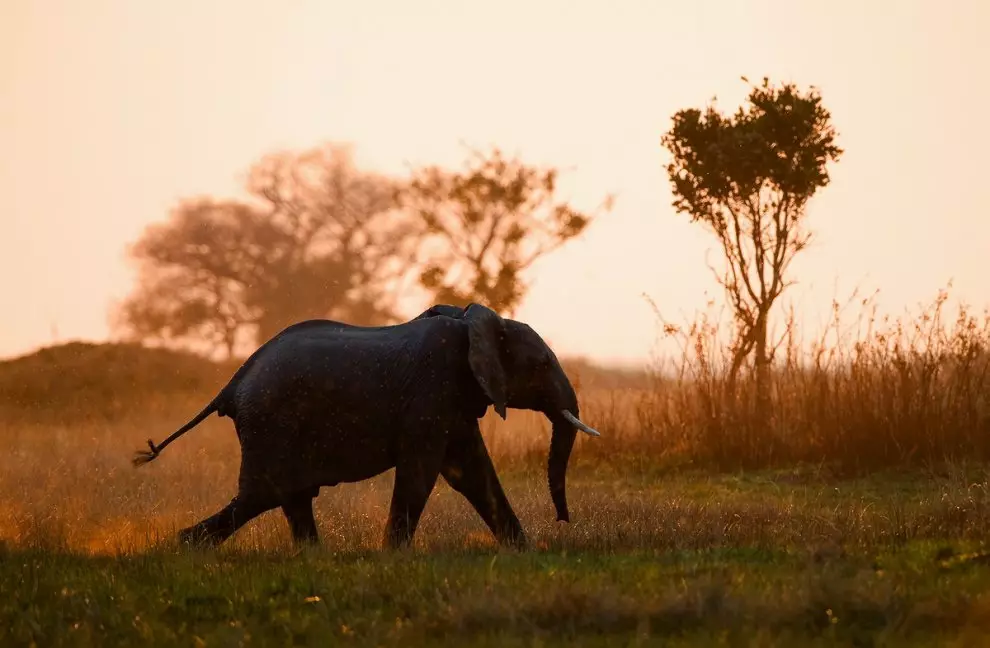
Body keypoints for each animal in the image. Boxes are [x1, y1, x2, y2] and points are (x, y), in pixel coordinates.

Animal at [131, 302, 596, 548]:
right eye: (542, 363)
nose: (563, 521)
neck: (472, 322)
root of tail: (232, 384)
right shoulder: (432, 391)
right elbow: (424, 473)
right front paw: (393, 556)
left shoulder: (455, 401)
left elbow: (472, 472)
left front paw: (524, 552)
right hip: (272, 424)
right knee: (262, 495)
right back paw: (184, 547)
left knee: (290, 496)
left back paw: (311, 557)